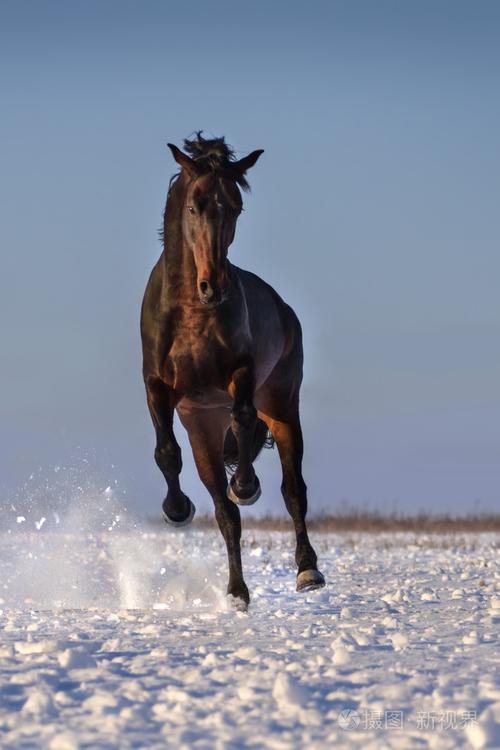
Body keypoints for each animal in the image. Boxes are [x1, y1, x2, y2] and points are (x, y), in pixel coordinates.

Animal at [141, 133, 325, 609]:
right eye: (194, 206)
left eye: (236, 207)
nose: (214, 286)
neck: (191, 314)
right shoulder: (157, 388)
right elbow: (165, 451)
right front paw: (177, 510)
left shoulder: (241, 375)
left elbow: (242, 421)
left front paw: (246, 485)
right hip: (203, 429)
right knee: (226, 515)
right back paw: (237, 592)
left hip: (282, 405)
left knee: (293, 489)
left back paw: (308, 570)